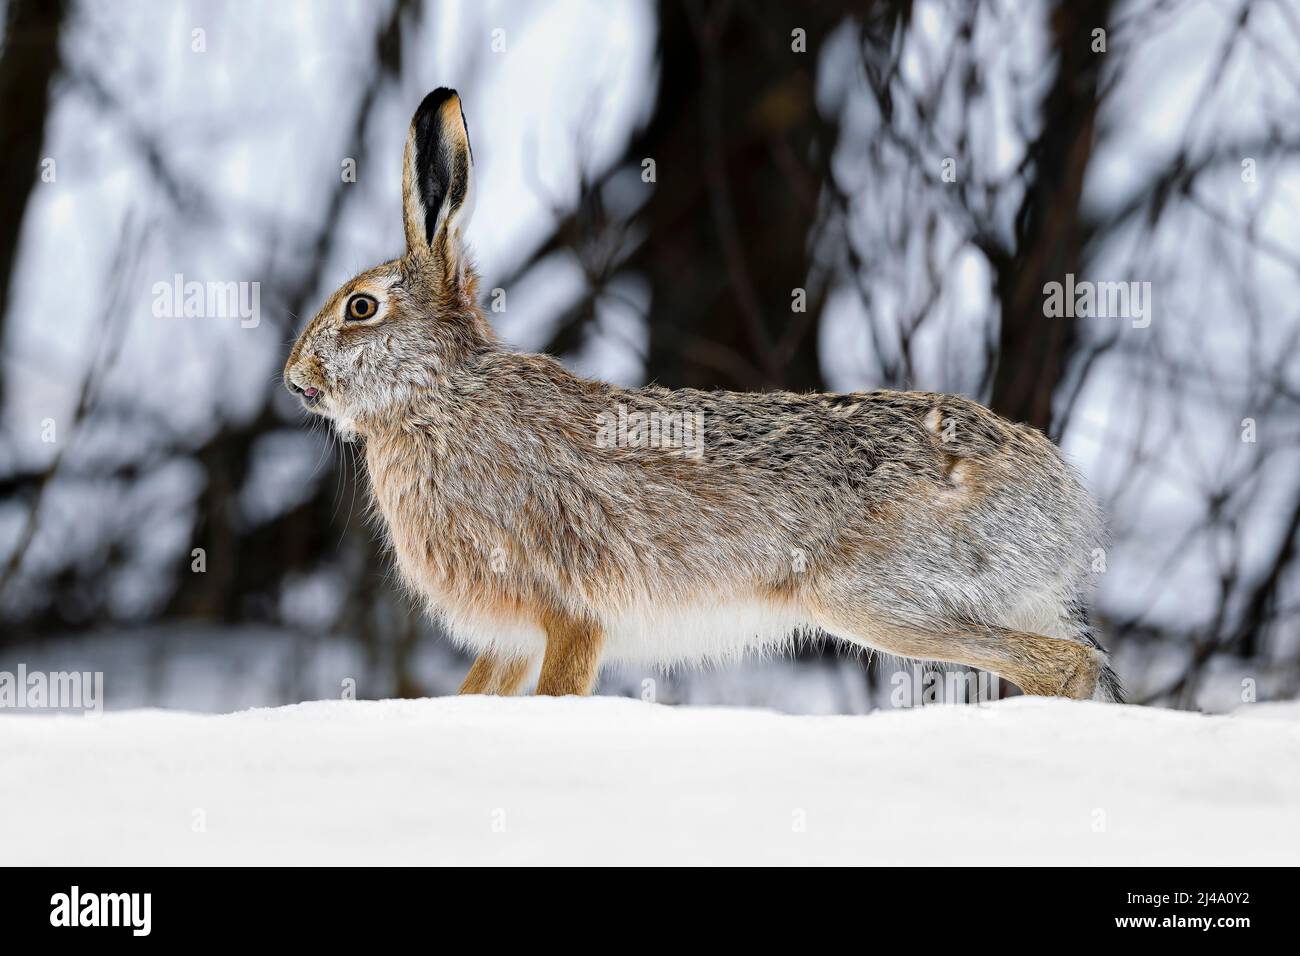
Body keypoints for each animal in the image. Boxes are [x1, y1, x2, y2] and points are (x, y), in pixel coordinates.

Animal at [284, 88, 1122, 703]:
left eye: (361, 308)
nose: (295, 381)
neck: (436, 397)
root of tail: (1066, 504)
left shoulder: (568, 614)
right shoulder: (511, 637)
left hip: (878, 595)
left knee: (1061, 666)